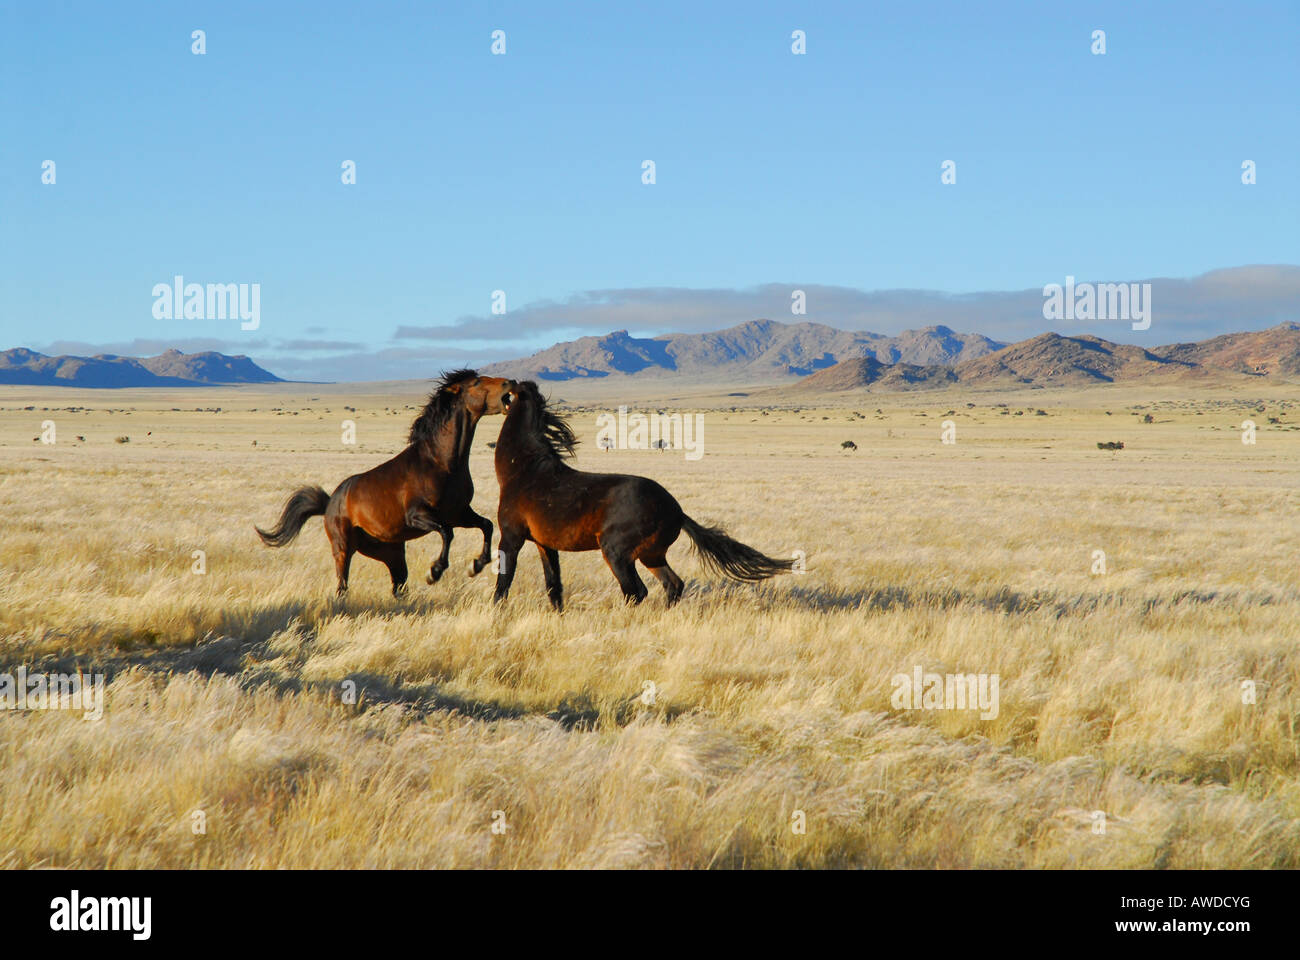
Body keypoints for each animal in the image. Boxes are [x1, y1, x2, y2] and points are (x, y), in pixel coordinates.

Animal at [255, 370, 516, 596]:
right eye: (476, 383)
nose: (510, 382)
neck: (441, 462)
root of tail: (330, 502)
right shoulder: (418, 515)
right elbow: (446, 533)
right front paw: (434, 571)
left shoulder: (459, 513)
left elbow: (486, 525)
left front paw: (477, 565)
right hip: (343, 549)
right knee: (342, 585)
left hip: (390, 553)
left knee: (398, 586)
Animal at [491, 380, 794, 610]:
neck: (525, 470)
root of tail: (677, 511)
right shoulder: (545, 545)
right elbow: (553, 585)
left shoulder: (511, 537)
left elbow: (503, 581)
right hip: (652, 555)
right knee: (672, 584)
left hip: (617, 552)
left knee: (636, 591)